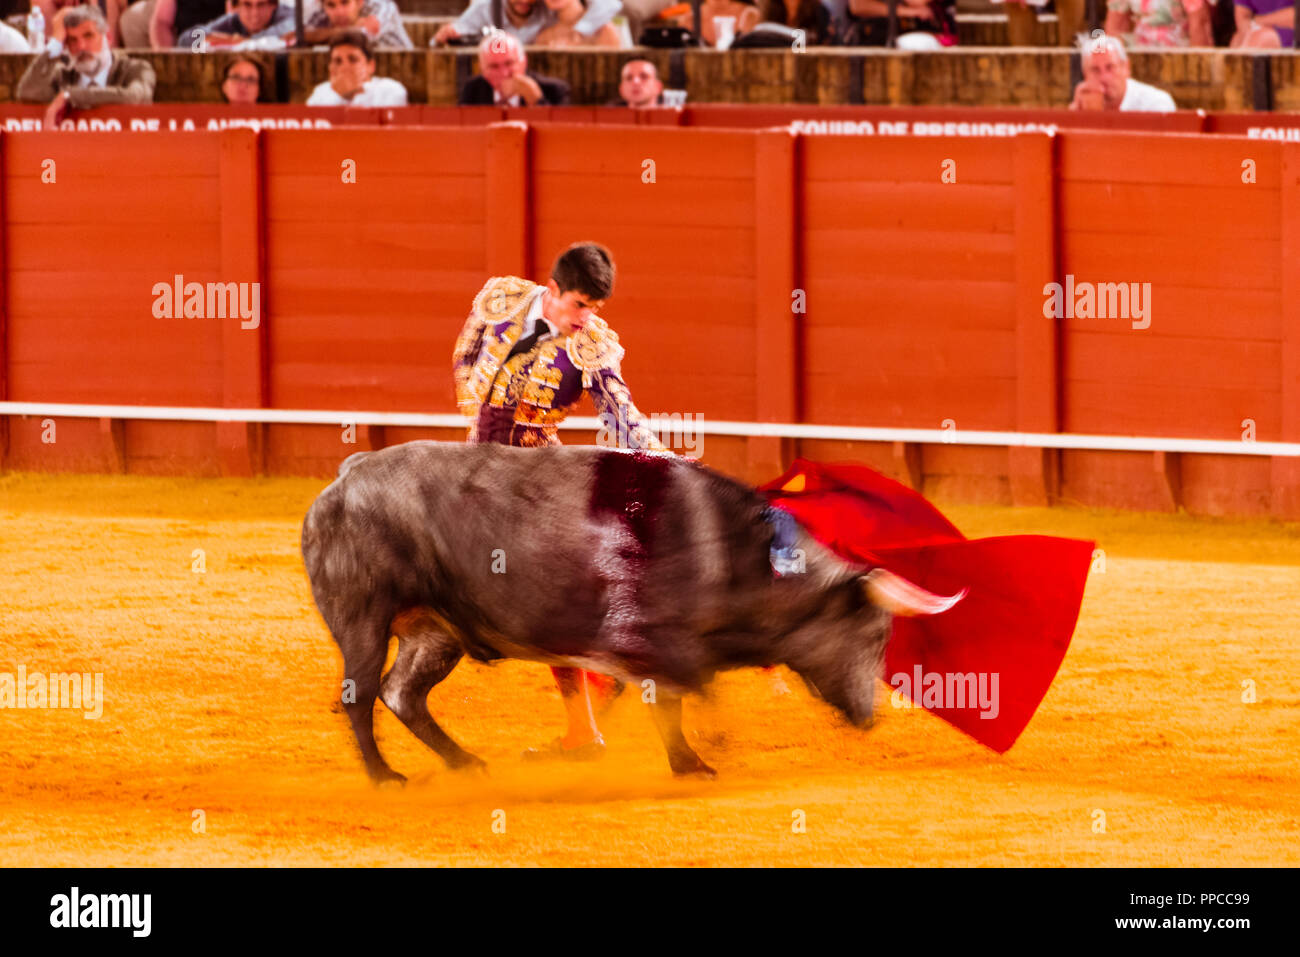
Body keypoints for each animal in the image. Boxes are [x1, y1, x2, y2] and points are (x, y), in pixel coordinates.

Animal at [301, 441, 963, 785]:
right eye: (874, 633)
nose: (870, 718)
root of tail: (346, 476)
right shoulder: (654, 642)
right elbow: (678, 700)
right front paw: (697, 761)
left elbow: (678, 696)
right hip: (363, 616)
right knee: (362, 694)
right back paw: (385, 776)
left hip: (434, 631)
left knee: (404, 693)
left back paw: (467, 762)